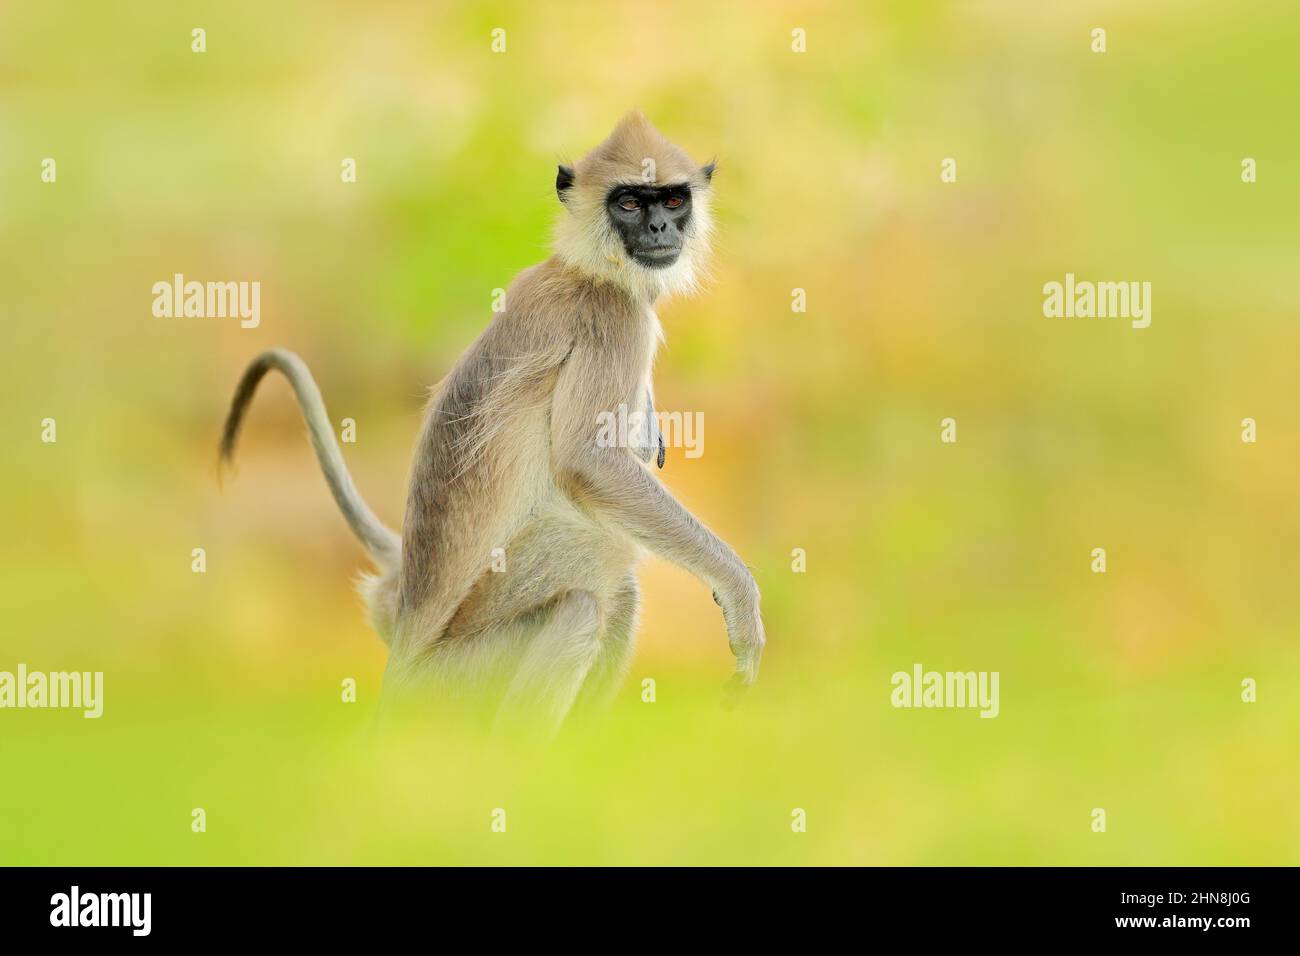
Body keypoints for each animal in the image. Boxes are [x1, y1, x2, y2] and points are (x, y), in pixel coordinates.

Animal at [219, 111, 765, 739]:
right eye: (629, 203)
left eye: (672, 200)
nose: (657, 228)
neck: (585, 267)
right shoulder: (613, 317)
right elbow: (589, 462)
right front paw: (740, 596)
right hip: (454, 679)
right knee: (593, 581)